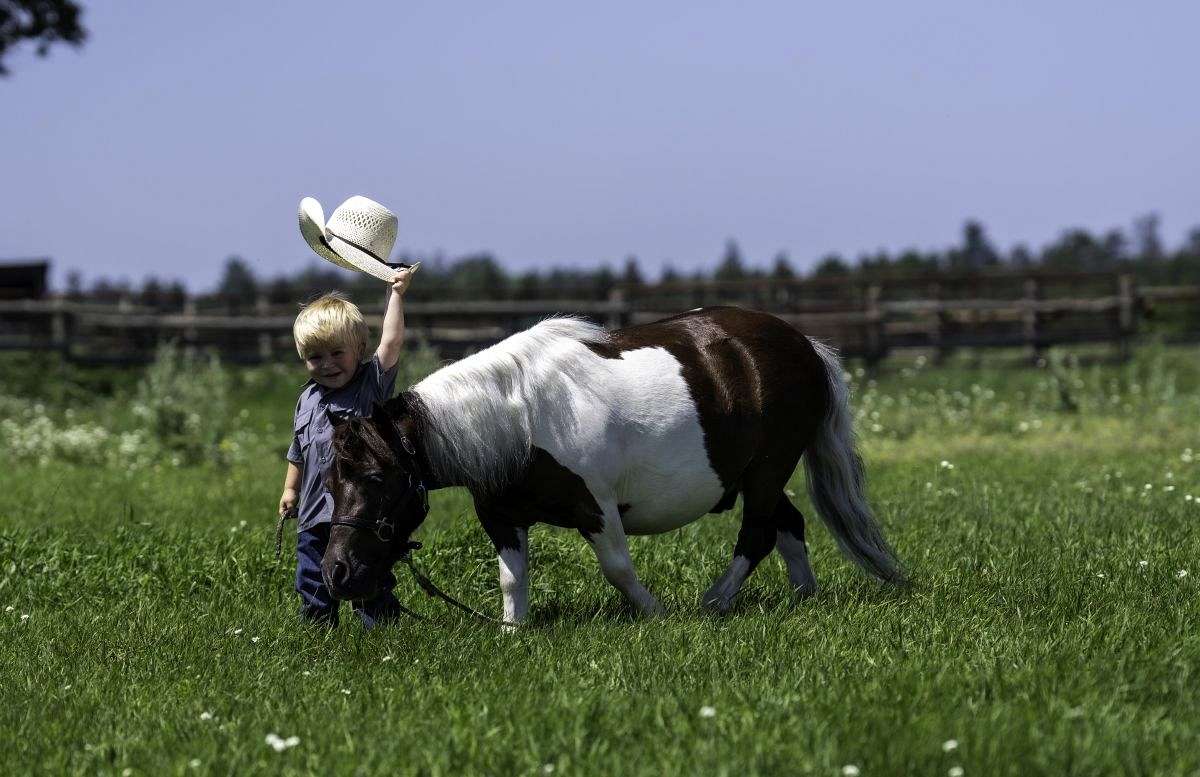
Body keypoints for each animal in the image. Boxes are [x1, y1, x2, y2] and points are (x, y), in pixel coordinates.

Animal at [320, 306, 905, 623]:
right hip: (752, 474)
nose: (336, 572)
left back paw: (715, 603)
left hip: (768, 468)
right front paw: (513, 632)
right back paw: (802, 597)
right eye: (329, 479)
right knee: (788, 524)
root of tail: (804, 343)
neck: (517, 418)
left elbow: (618, 569)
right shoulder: (501, 517)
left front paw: (656, 614)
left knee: (758, 533)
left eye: (374, 477)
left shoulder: (597, 508)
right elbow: (512, 579)